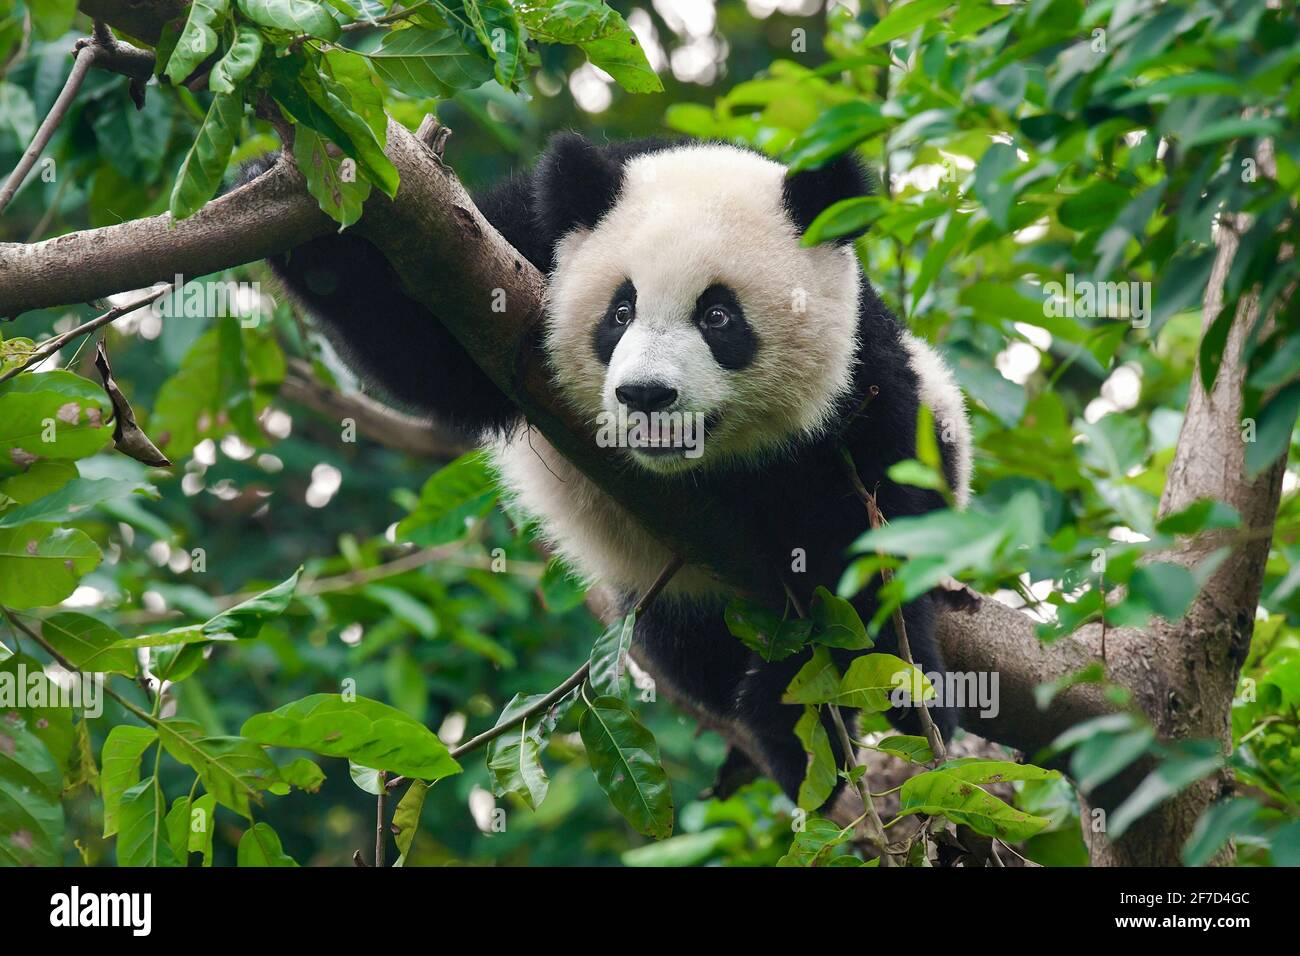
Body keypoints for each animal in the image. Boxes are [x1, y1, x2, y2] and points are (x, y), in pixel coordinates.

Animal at [250, 133, 972, 804]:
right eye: (619, 312)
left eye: (718, 316)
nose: (646, 395)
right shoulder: (517, 245)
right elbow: (429, 349)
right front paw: (294, 202)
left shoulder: (862, 378)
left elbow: (867, 535)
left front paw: (870, 692)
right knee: (692, 651)